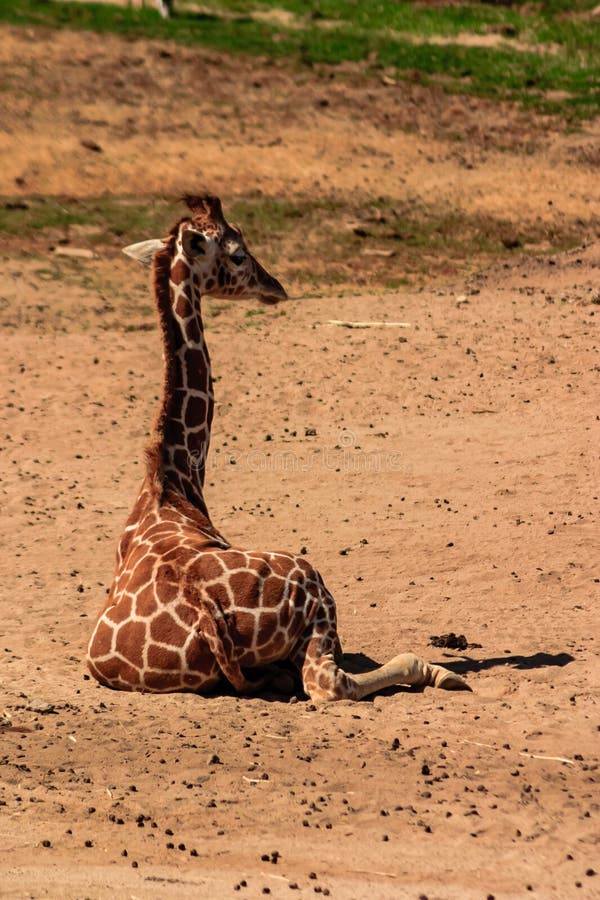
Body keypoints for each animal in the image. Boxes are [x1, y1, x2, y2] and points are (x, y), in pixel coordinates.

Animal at [86, 195, 471, 702]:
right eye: (237, 254)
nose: (276, 287)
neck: (171, 480)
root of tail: (206, 615)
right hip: (312, 581)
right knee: (326, 683)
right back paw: (442, 672)